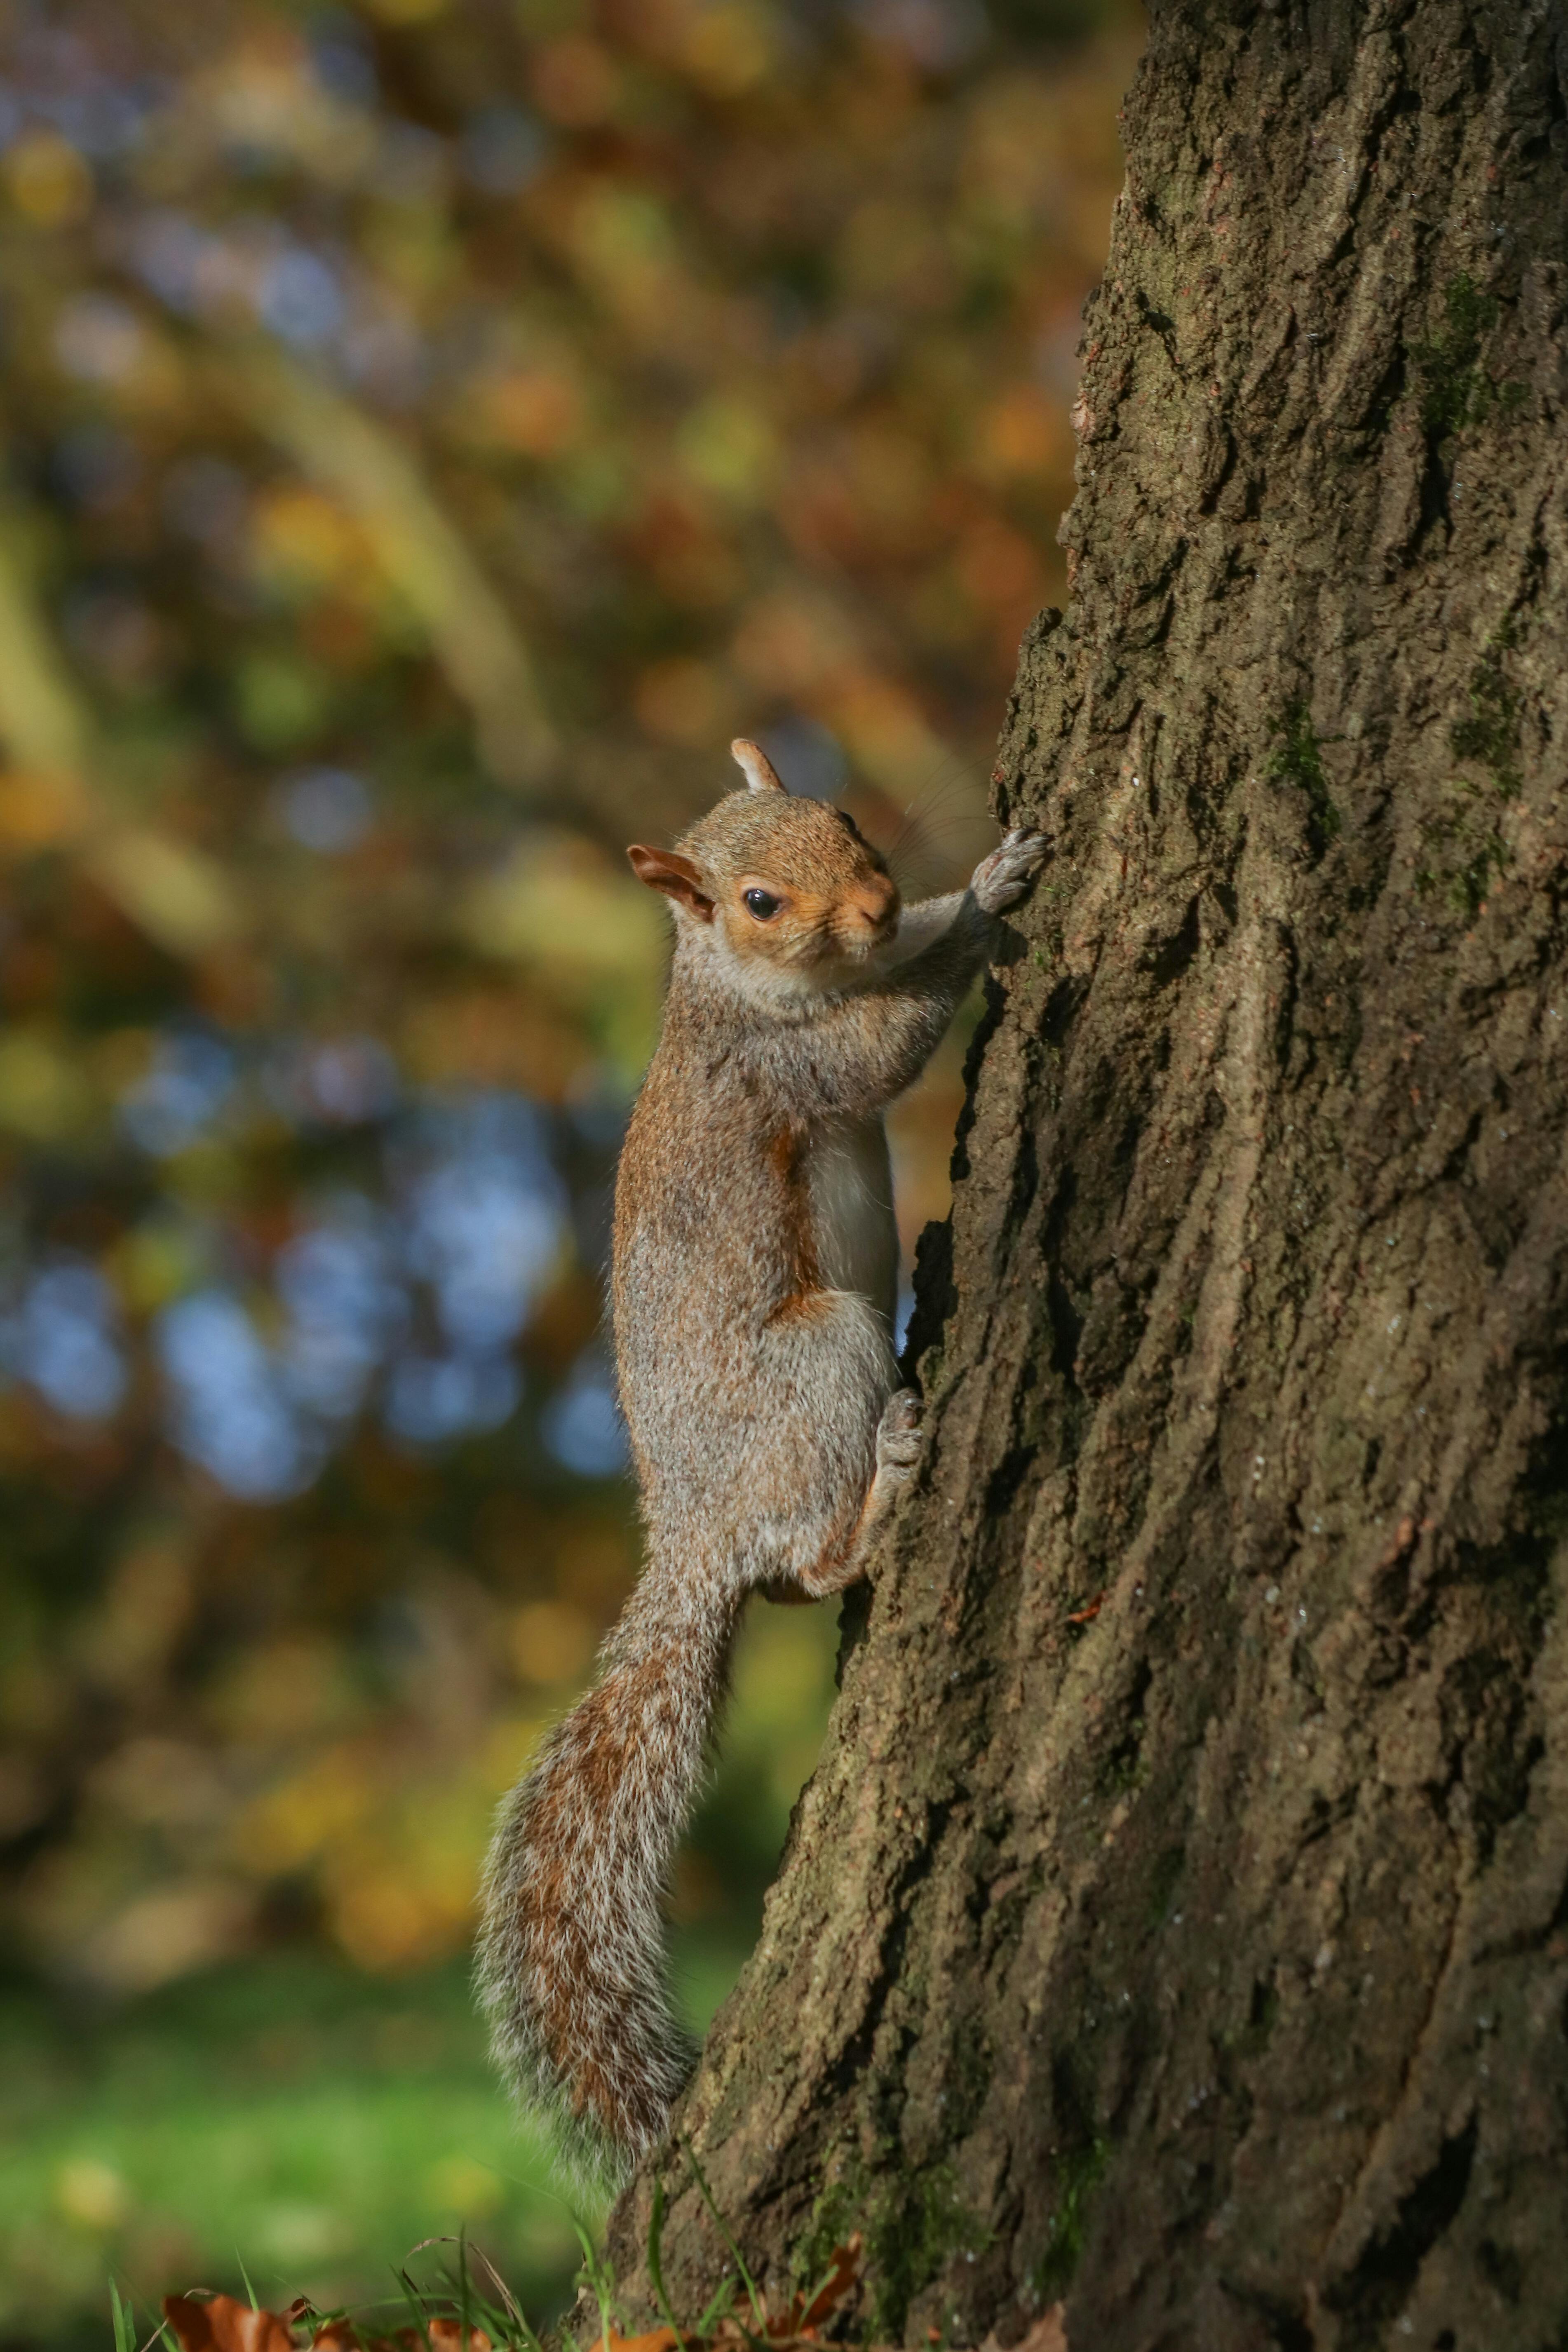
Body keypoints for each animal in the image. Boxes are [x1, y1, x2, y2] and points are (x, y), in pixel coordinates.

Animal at [476, 739, 1046, 2187]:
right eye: (754, 903)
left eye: (837, 813)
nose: (875, 895)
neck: (740, 986)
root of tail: (694, 1539)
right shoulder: (784, 1068)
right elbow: (880, 1050)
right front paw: (988, 901)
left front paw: (949, 892)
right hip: (821, 1362)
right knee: (812, 1559)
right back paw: (888, 1485)